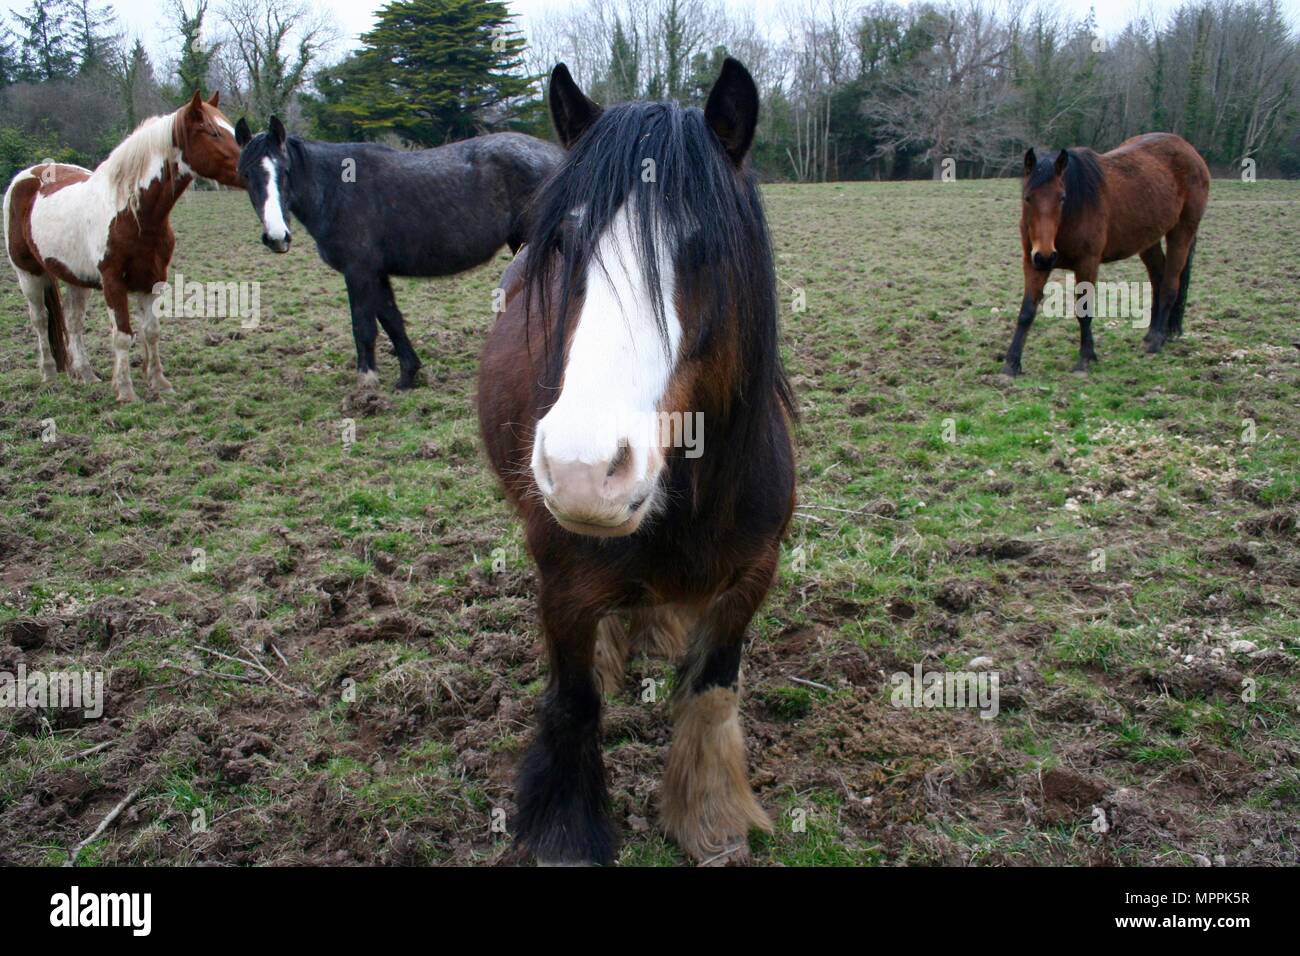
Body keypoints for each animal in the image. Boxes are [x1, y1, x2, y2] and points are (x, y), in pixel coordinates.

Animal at [4, 92, 245, 402]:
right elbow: (122, 335)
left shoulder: (153, 280)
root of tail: (27, 177)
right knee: (40, 319)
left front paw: (159, 383)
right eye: (213, 132)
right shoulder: (112, 283)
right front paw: (126, 391)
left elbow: (151, 331)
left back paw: (86, 375)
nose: (252, 166)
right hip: (29, 274)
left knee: (73, 323)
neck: (133, 214)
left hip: (75, 279)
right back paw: (48, 375)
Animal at [234, 118, 564, 391]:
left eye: (285, 172)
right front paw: (408, 375)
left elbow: (363, 326)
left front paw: (367, 383)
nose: (277, 237)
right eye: (246, 174)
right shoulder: (376, 273)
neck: (337, 190)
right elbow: (391, 320)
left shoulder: (358, 272)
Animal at [477, 59, 796, 865]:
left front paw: (710, 817)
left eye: (703, 246)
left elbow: (713, 689)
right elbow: (574, 701)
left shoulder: (753, 576)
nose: (583, 471)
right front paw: (568, 834)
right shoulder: (563, 588)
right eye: (565, 243)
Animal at [1001, 132, 1210, 377]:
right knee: (1158, 280)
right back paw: (1152, 334)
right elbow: (1027, 311)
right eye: (1027, 197)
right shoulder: (1033, 263)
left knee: (1169, 285)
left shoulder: (1087, 263)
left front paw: (1085, 358)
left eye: (1062, 197)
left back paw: (1157, 340)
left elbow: (1084, 310)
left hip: (1182, 232)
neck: (1070, 216)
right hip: (1149, 240)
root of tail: (1188, 149)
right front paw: (1011, 363)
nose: (1045, 255)